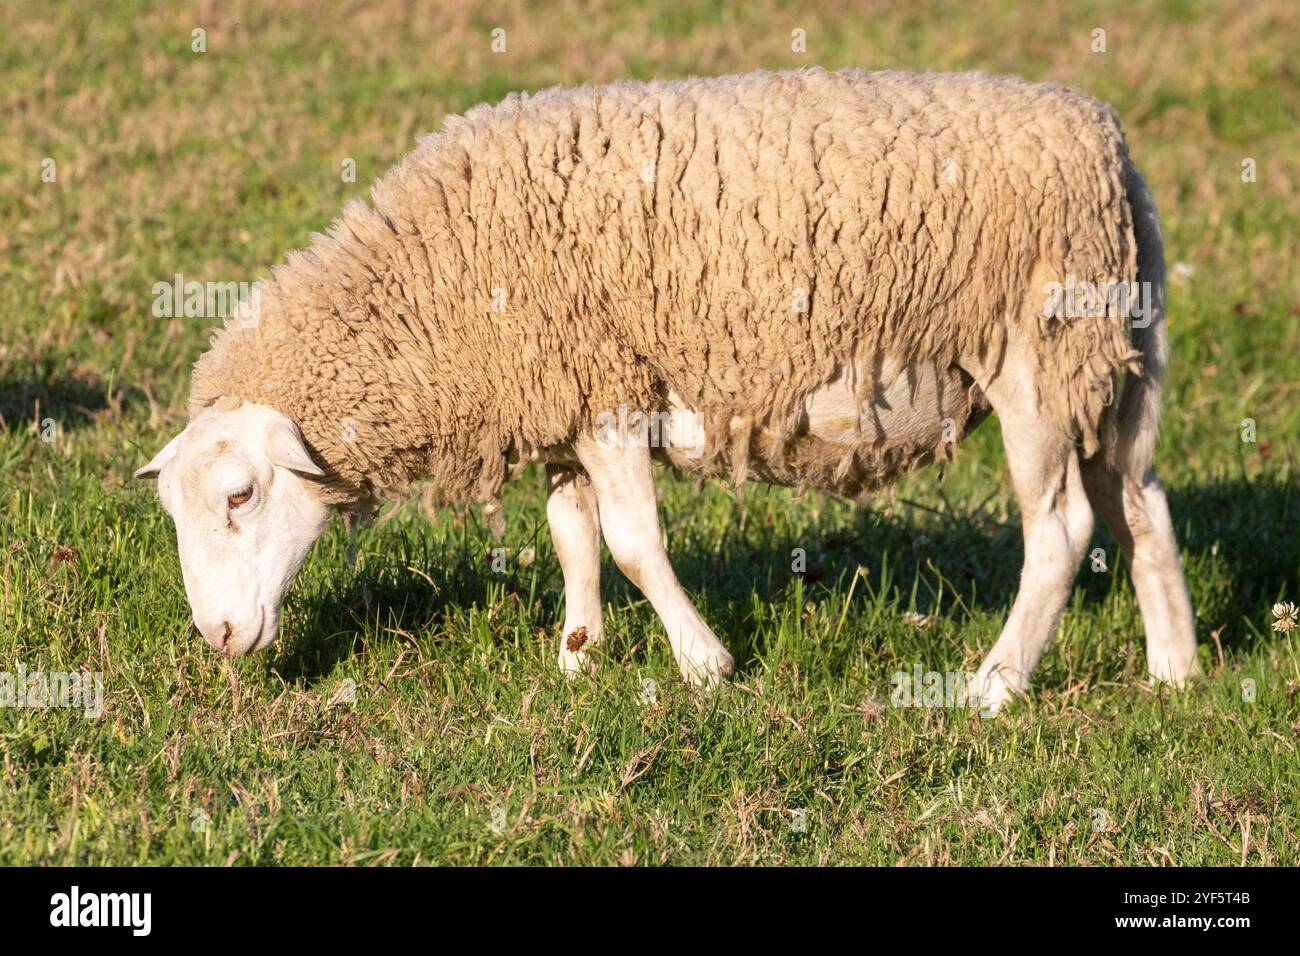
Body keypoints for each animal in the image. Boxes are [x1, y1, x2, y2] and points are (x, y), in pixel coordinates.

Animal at [135, 67, 1199, 710]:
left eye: (239, 496)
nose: (219, 638)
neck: (437, 289)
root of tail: (1108, 140)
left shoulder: (610, 389)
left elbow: (635, 543)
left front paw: (705, 665)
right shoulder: (563, 394)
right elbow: (572, 533)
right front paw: (577, 654)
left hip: (1037, 357)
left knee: (1061, 530)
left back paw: (994, 687)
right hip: (1109, 363)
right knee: (1141, 505)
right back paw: (1174, 674)